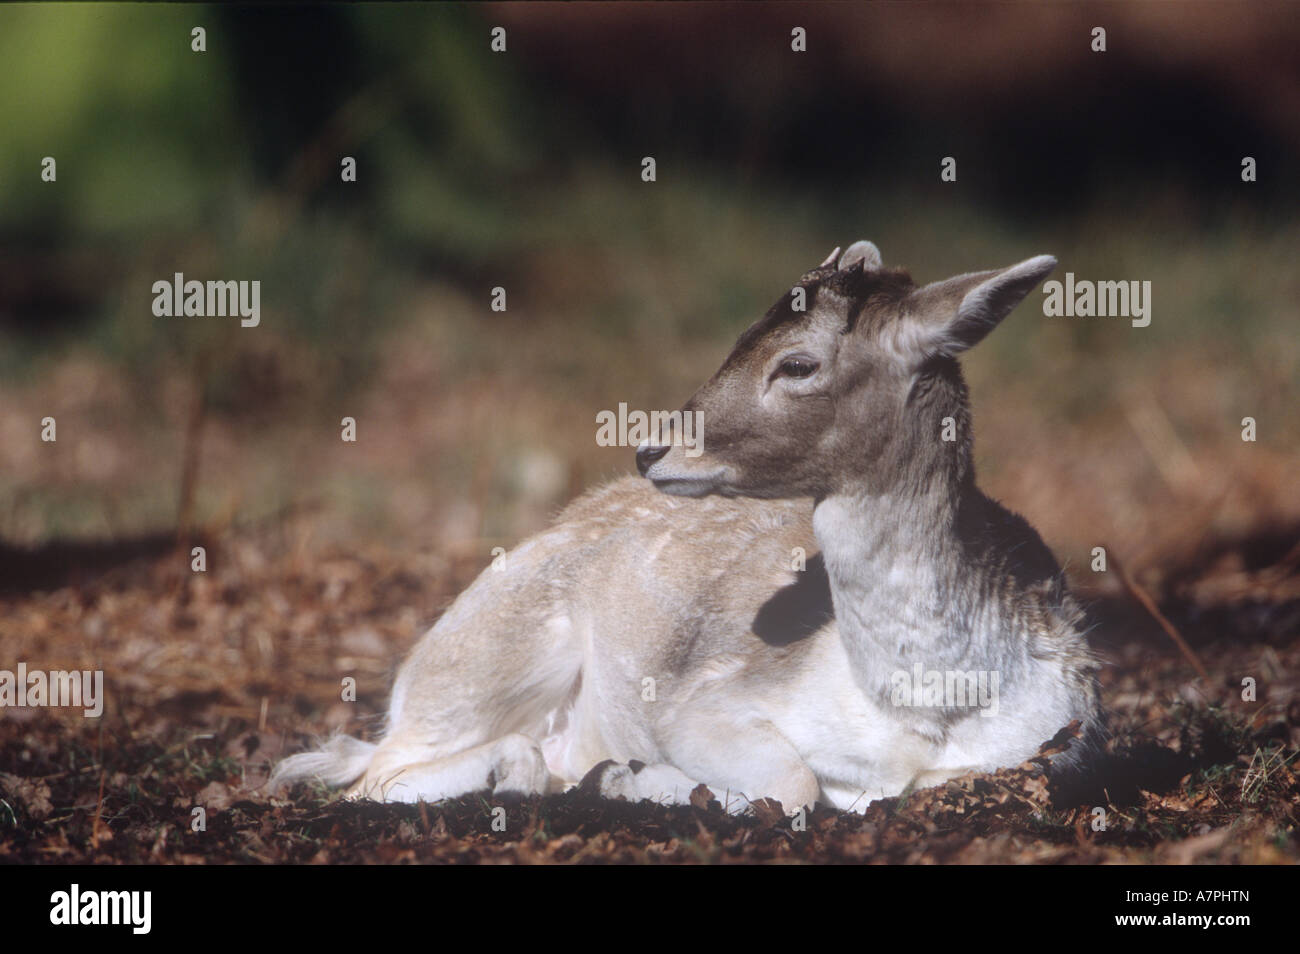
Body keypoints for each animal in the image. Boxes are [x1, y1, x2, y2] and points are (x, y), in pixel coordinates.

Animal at [272, 241, 1102, 814]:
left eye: (797, 363)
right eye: (740, 336)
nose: (650, 446)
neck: (928, 711)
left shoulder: (1069, 741)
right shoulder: (706, 702)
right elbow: (794, 785)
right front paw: (647, 780)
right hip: (480, 662)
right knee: (367, 774)